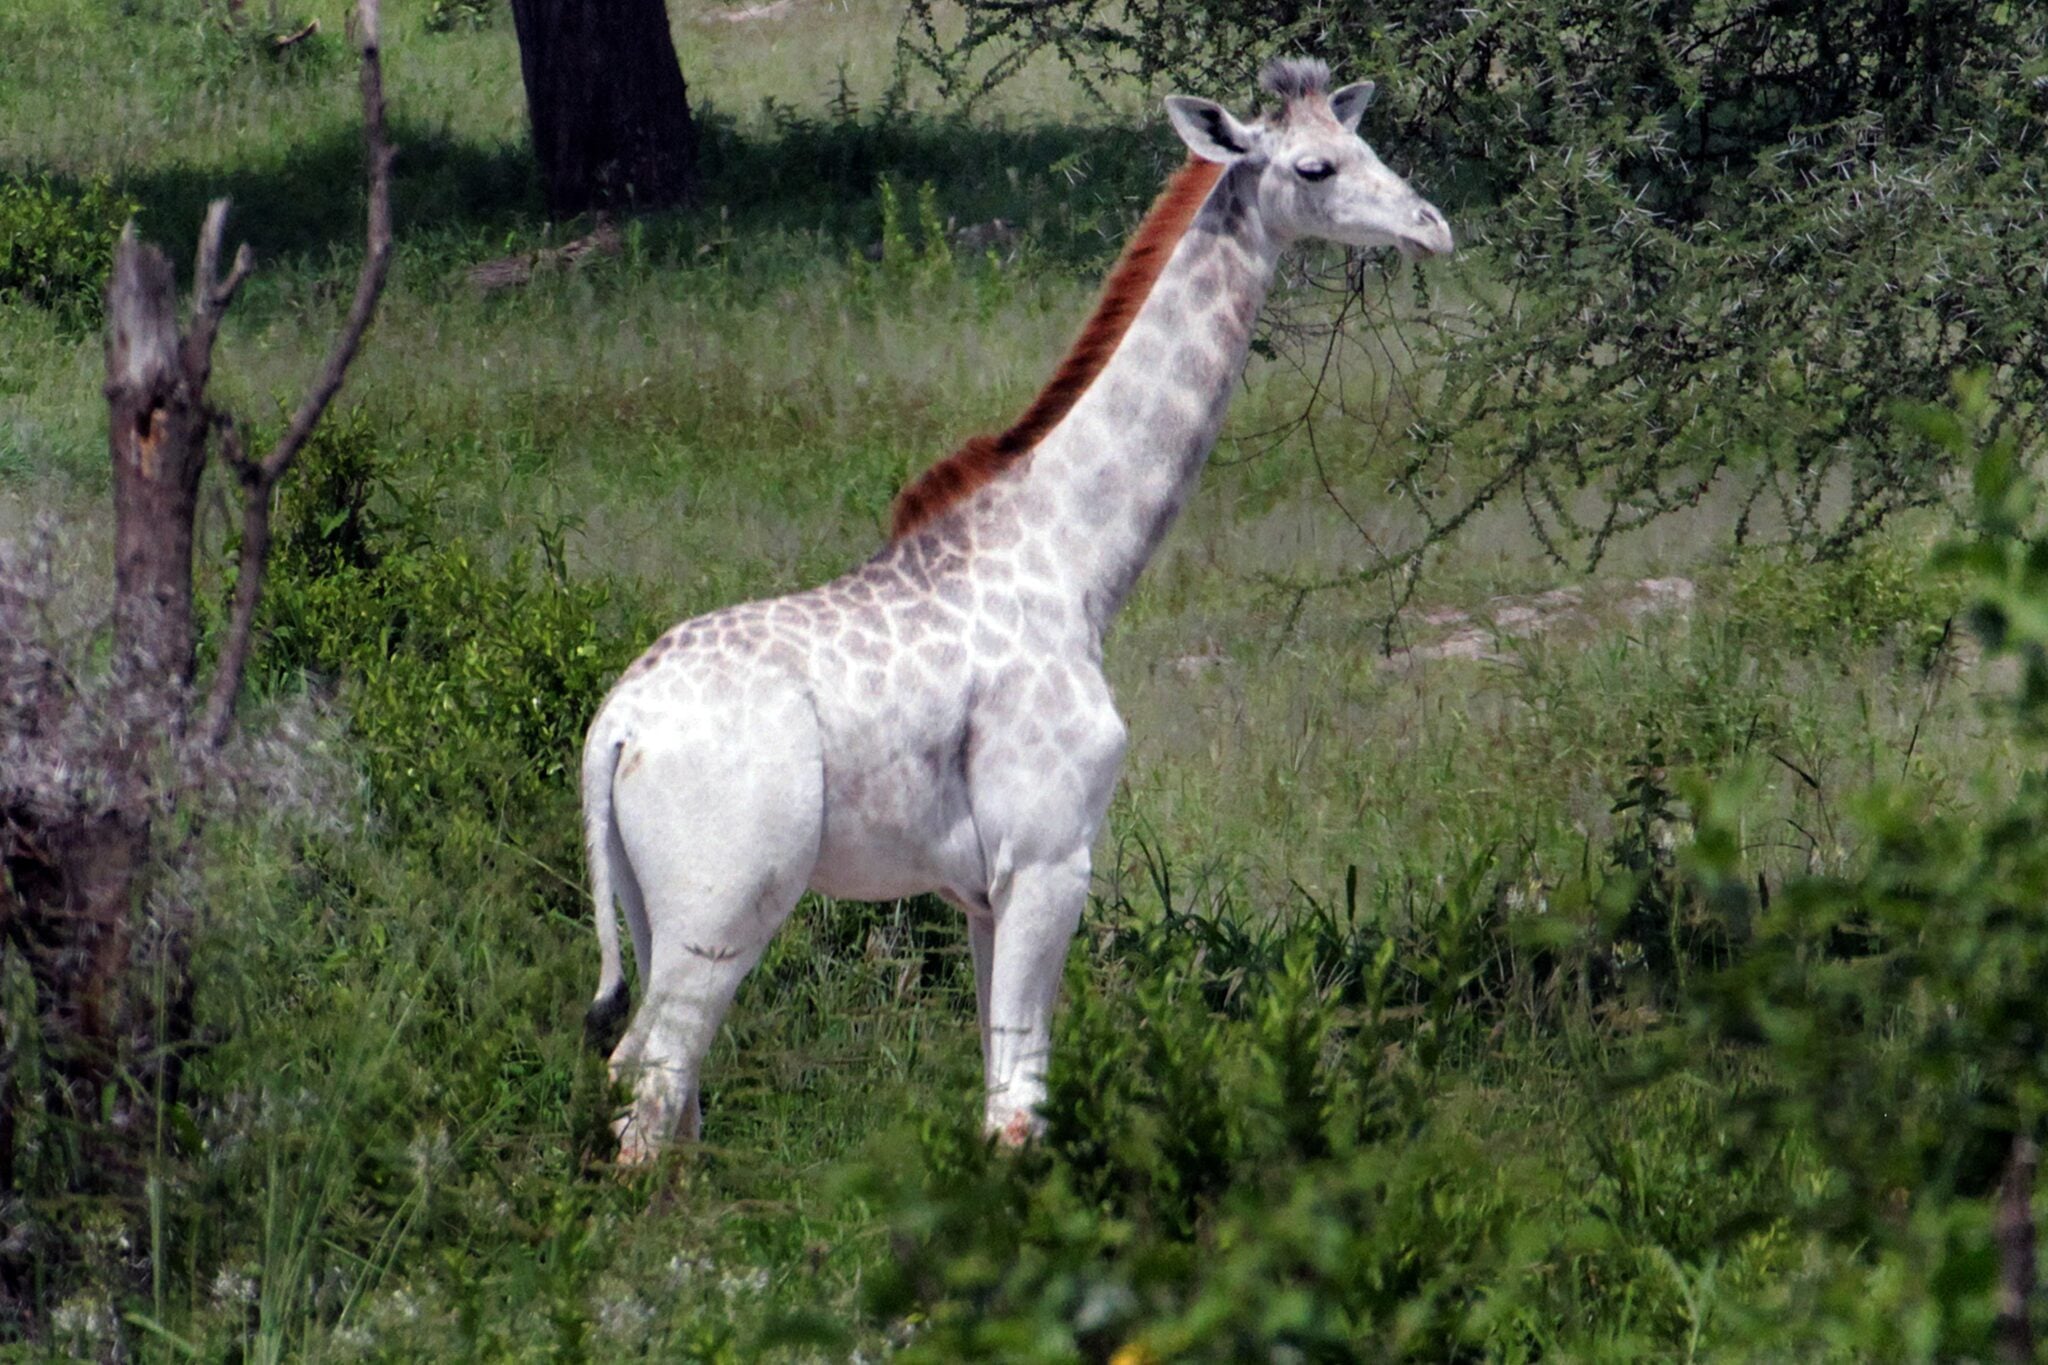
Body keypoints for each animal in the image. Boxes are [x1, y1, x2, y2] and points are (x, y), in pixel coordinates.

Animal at [580, 57, 1454, 1164]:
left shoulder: (978, 886)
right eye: (1315, 166)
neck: (1071, 562)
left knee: (662, 1097)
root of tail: (614, 729)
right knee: (649, 1080)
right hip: (726, 900)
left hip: (651, 908)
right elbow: (1019, 1110)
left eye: (1365, 143)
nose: (1432, 227)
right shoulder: (1049, 854)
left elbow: (999, 1087)